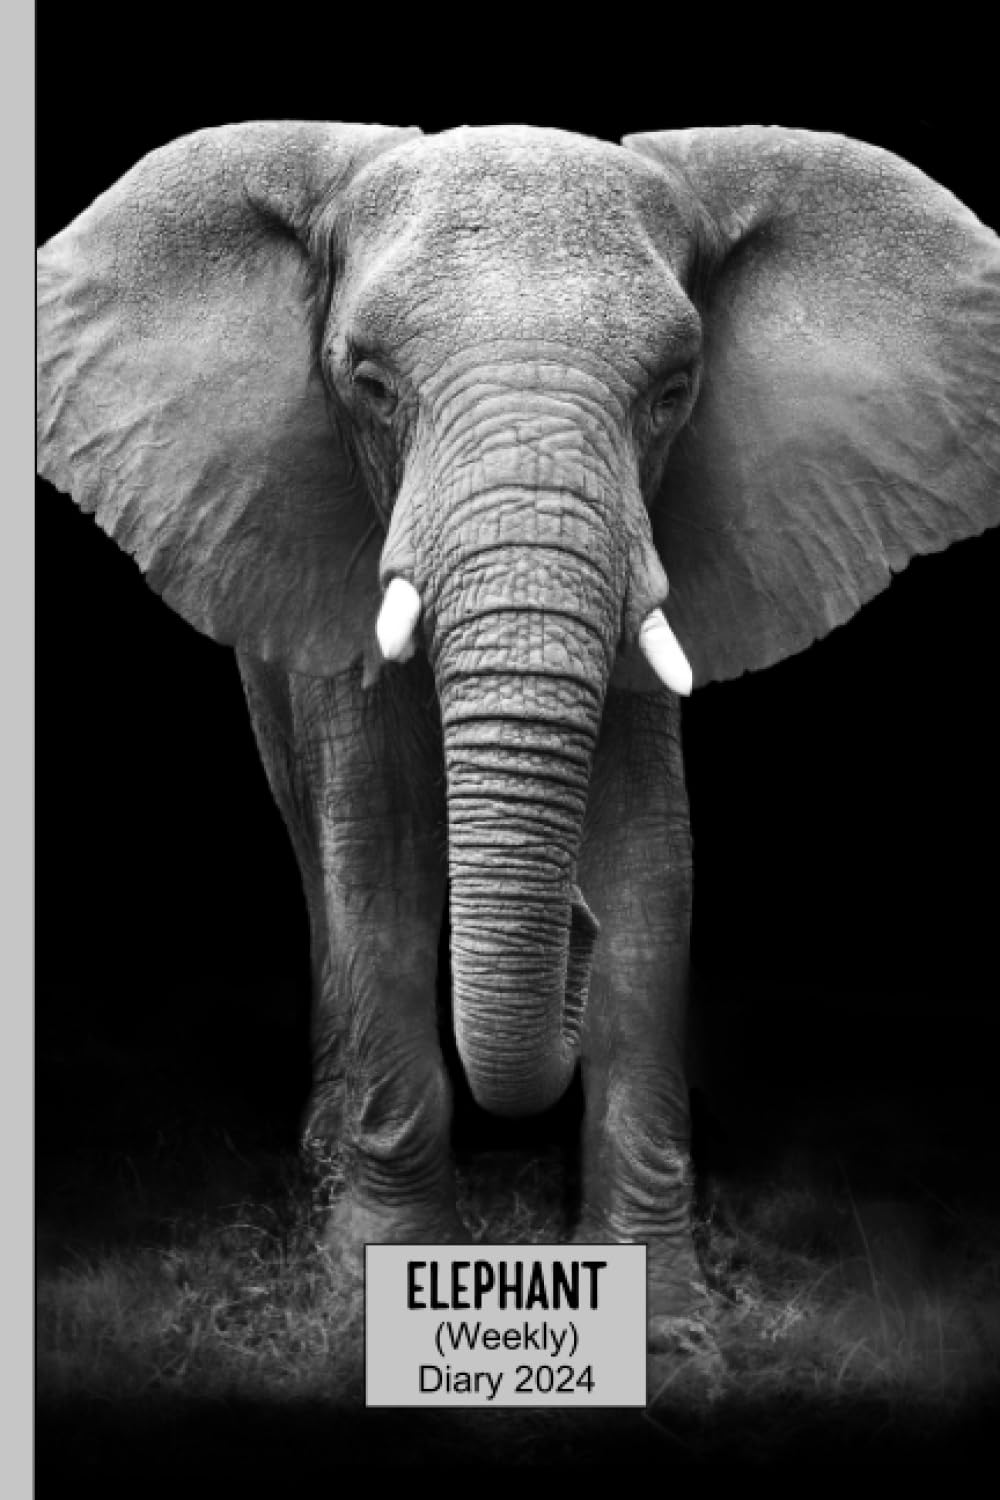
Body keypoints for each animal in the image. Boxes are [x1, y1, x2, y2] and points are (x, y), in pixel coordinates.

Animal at [36, 121, 1000, 1345]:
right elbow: (379, 858)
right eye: (368, 384)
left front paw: (663, 1323)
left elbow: (651, 865)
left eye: (673, 392)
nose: (566, 929)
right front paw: (376, 1291)